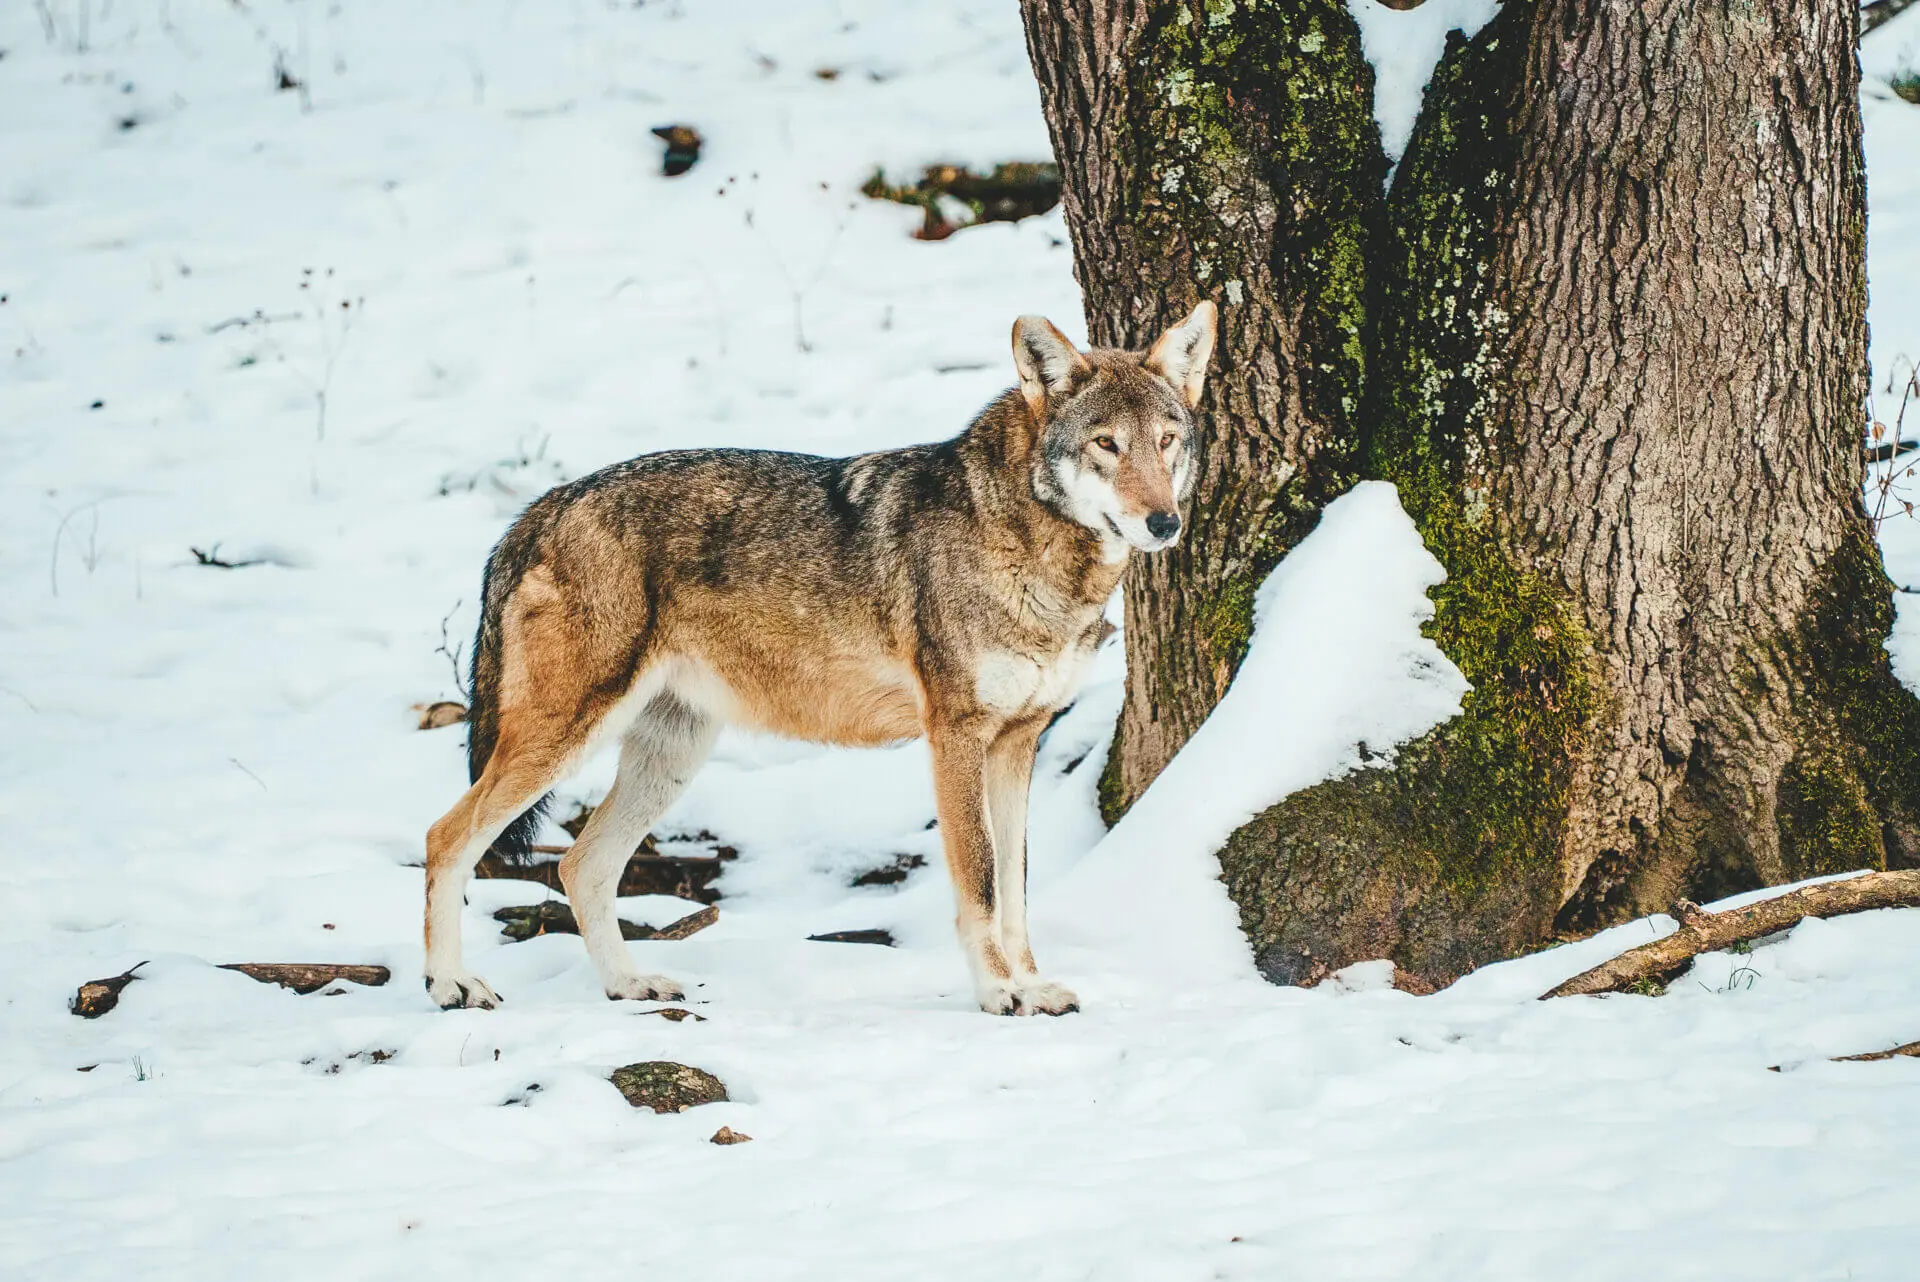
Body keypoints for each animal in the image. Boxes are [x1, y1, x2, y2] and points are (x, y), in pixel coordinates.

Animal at [422, 301, 1217, 1015]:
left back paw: (628, 984)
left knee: (581, 863)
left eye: (1166, 441)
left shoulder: (1018, 740)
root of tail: (547, 504)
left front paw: (1032, 984)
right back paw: (452, 985)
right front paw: (999, 993)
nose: (1164, 522)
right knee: (448, 837)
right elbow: (983, 882)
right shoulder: (956, 737)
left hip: (670, 754)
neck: (1037, 553)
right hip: (564, 738)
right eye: (1106, 445)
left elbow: (1017, 888)